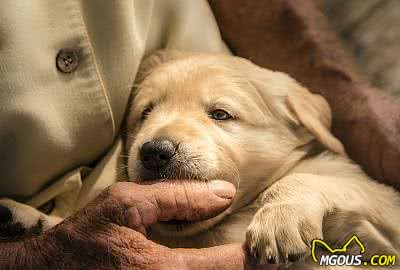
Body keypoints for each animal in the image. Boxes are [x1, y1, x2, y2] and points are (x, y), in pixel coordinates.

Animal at [125, 50, 400, 268]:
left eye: (221, 114)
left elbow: (300, 179)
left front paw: (279, 218)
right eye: (146, 113)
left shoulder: (386, 207)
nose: (154, 152)